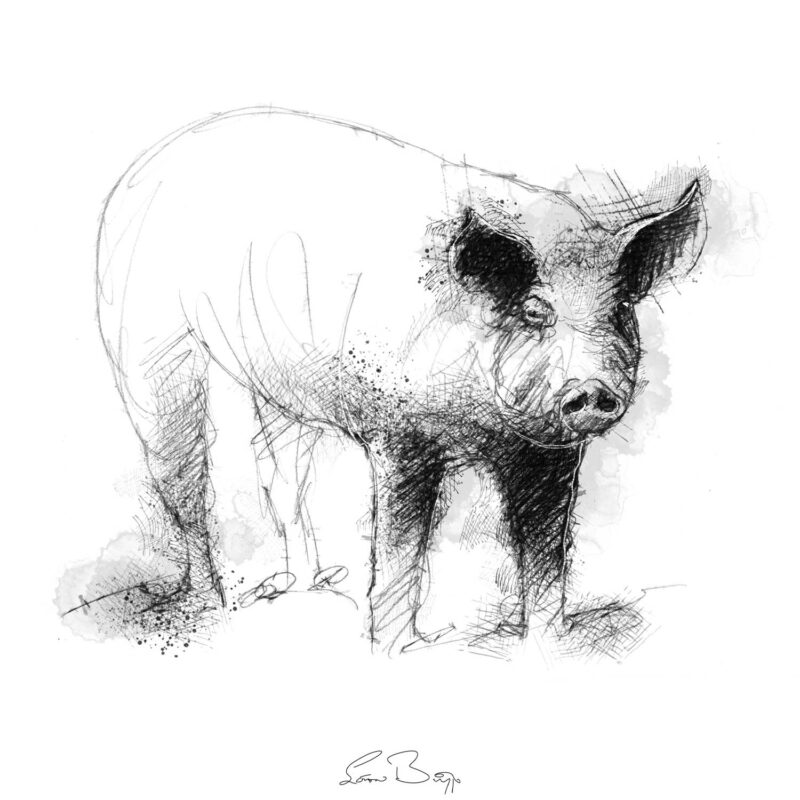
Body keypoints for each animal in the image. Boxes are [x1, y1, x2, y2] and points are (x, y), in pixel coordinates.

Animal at [96, 107, 707, 654]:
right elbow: (401, 548)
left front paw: (545, 641)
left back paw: (309, 585)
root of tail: (146, 165)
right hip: (150, 345)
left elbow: (544, 549)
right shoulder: (398, 433)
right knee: (181, 468)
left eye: (622, 309)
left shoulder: (548, 453)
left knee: (278, 466)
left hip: (283, 384)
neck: (484, 425)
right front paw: (398, 647)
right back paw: (216, 603)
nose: (592, 390)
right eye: (536, 310)